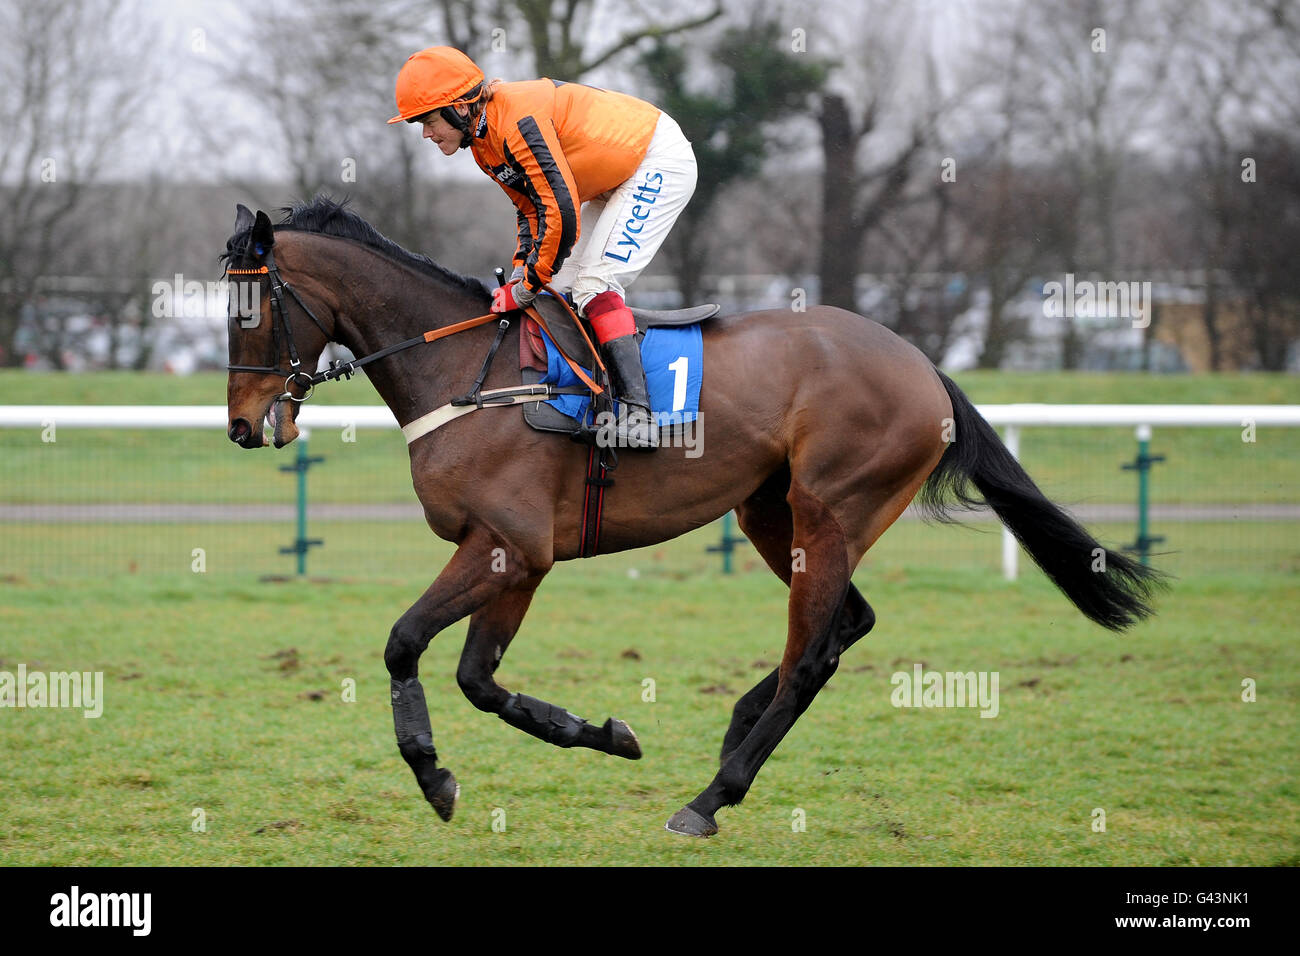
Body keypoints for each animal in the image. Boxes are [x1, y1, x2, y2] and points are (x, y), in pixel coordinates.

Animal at [223, 197, 1161, 837]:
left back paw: (713, 796)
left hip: (832, 508)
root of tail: (922, 364)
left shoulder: (509, 548)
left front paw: (431, 774)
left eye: (251, 311)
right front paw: (602, 731)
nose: (241, 424)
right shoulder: (516, 558)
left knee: (811, 654)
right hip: (771, 510)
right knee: (844, 625)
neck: (469, 372)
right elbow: (479, 679)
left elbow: (405, 643)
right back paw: (735, 729)